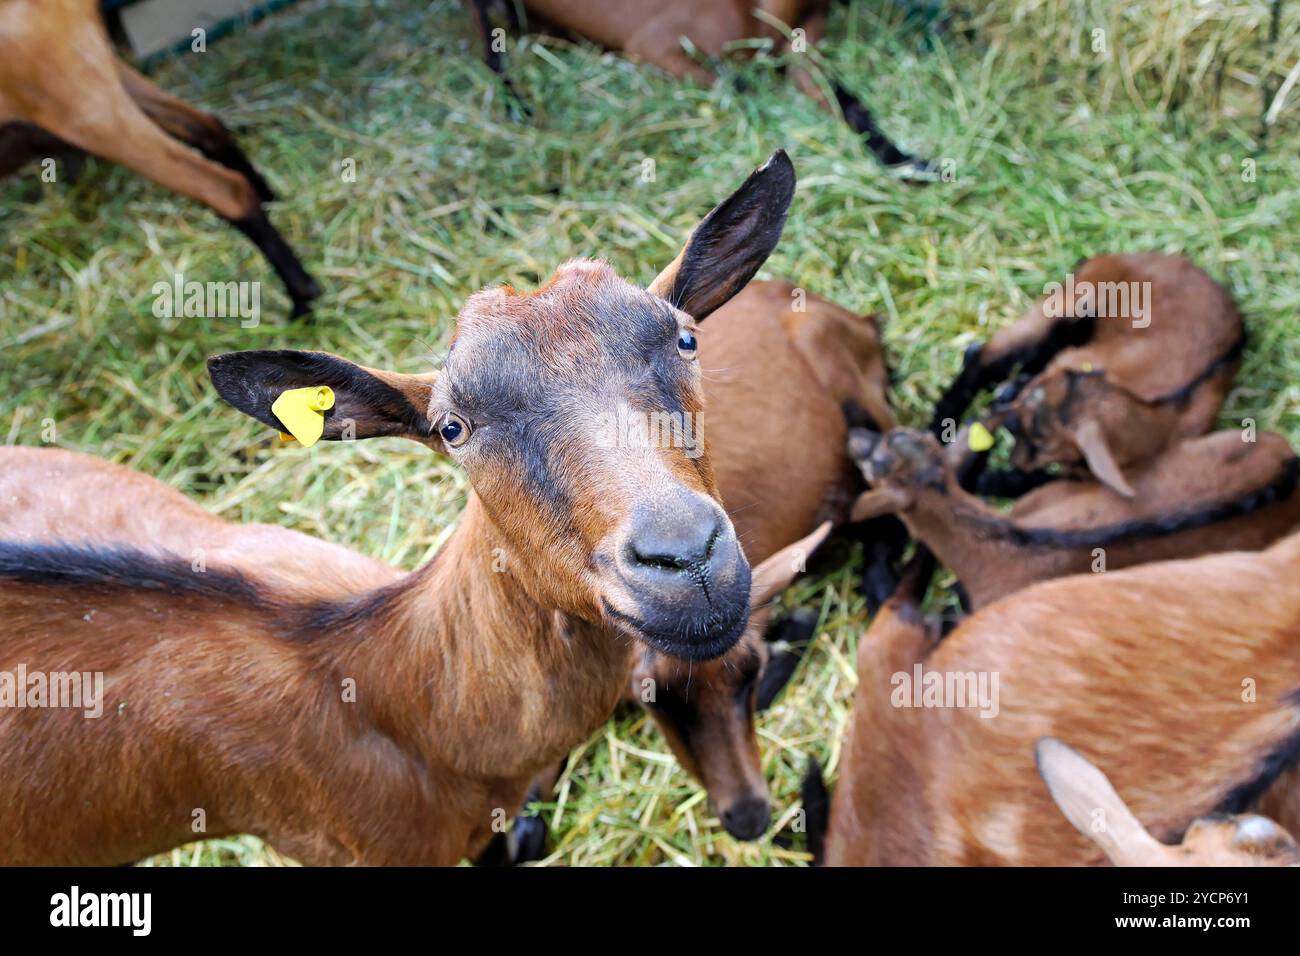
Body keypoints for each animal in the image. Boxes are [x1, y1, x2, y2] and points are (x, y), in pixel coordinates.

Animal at [0, 0, 320, 316]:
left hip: (83, 111)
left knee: (224, 188)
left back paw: (303, 296)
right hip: (100, 79)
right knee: (206, 126)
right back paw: (268, 197)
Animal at [472, 0, 930, 175]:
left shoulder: (802, 43)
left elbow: (849, 102)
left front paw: (910, 163)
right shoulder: (654, 46)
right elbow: (745, 92)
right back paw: (517, 104)